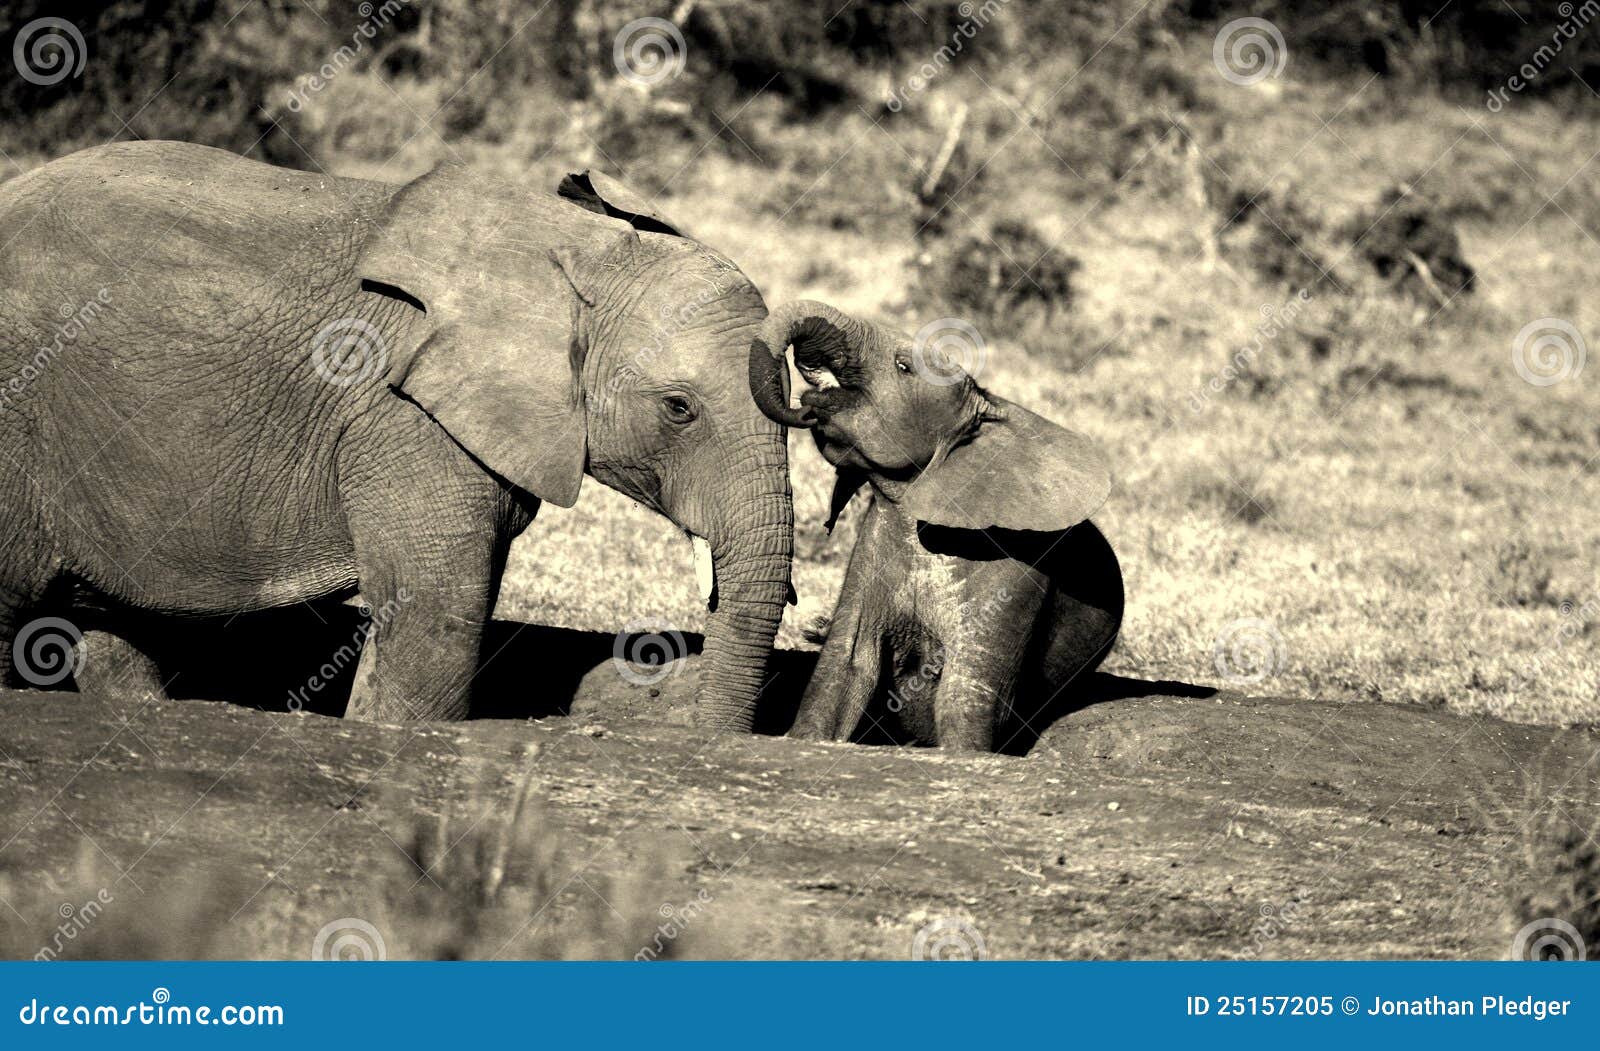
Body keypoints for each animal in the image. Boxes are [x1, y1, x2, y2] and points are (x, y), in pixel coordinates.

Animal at [748, 302, 1122, 751]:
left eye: (903, 366)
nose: (805, 405)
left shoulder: (1014, 576)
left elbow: (964, 693)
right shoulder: (871, 551)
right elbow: (843, 671)